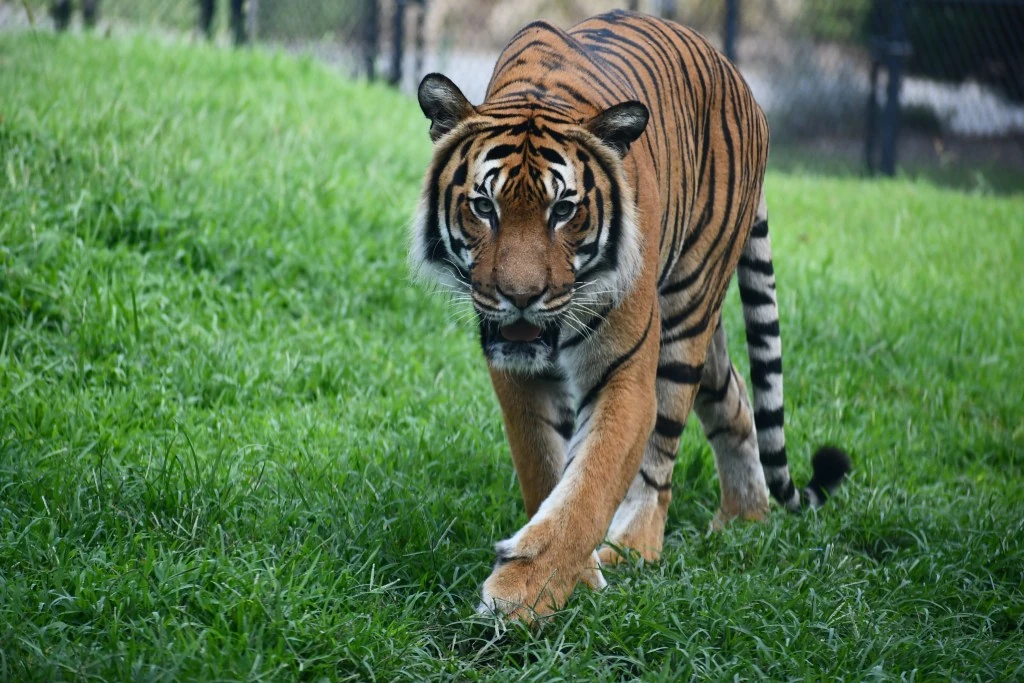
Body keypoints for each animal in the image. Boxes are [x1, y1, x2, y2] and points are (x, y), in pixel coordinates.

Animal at [410, 10, 850, 622]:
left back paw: (634, 548)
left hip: (686, 313)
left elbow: (590, 485)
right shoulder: (517, 373)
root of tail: (744, 85)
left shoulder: (625, 371)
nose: (520, 296)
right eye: (483, 207)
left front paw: (523, 595)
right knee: (736, 401)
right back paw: (744, 520)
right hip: (705, 332)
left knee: (661, 455)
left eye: (563, 210)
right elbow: (547, 470)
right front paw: (569, 576)